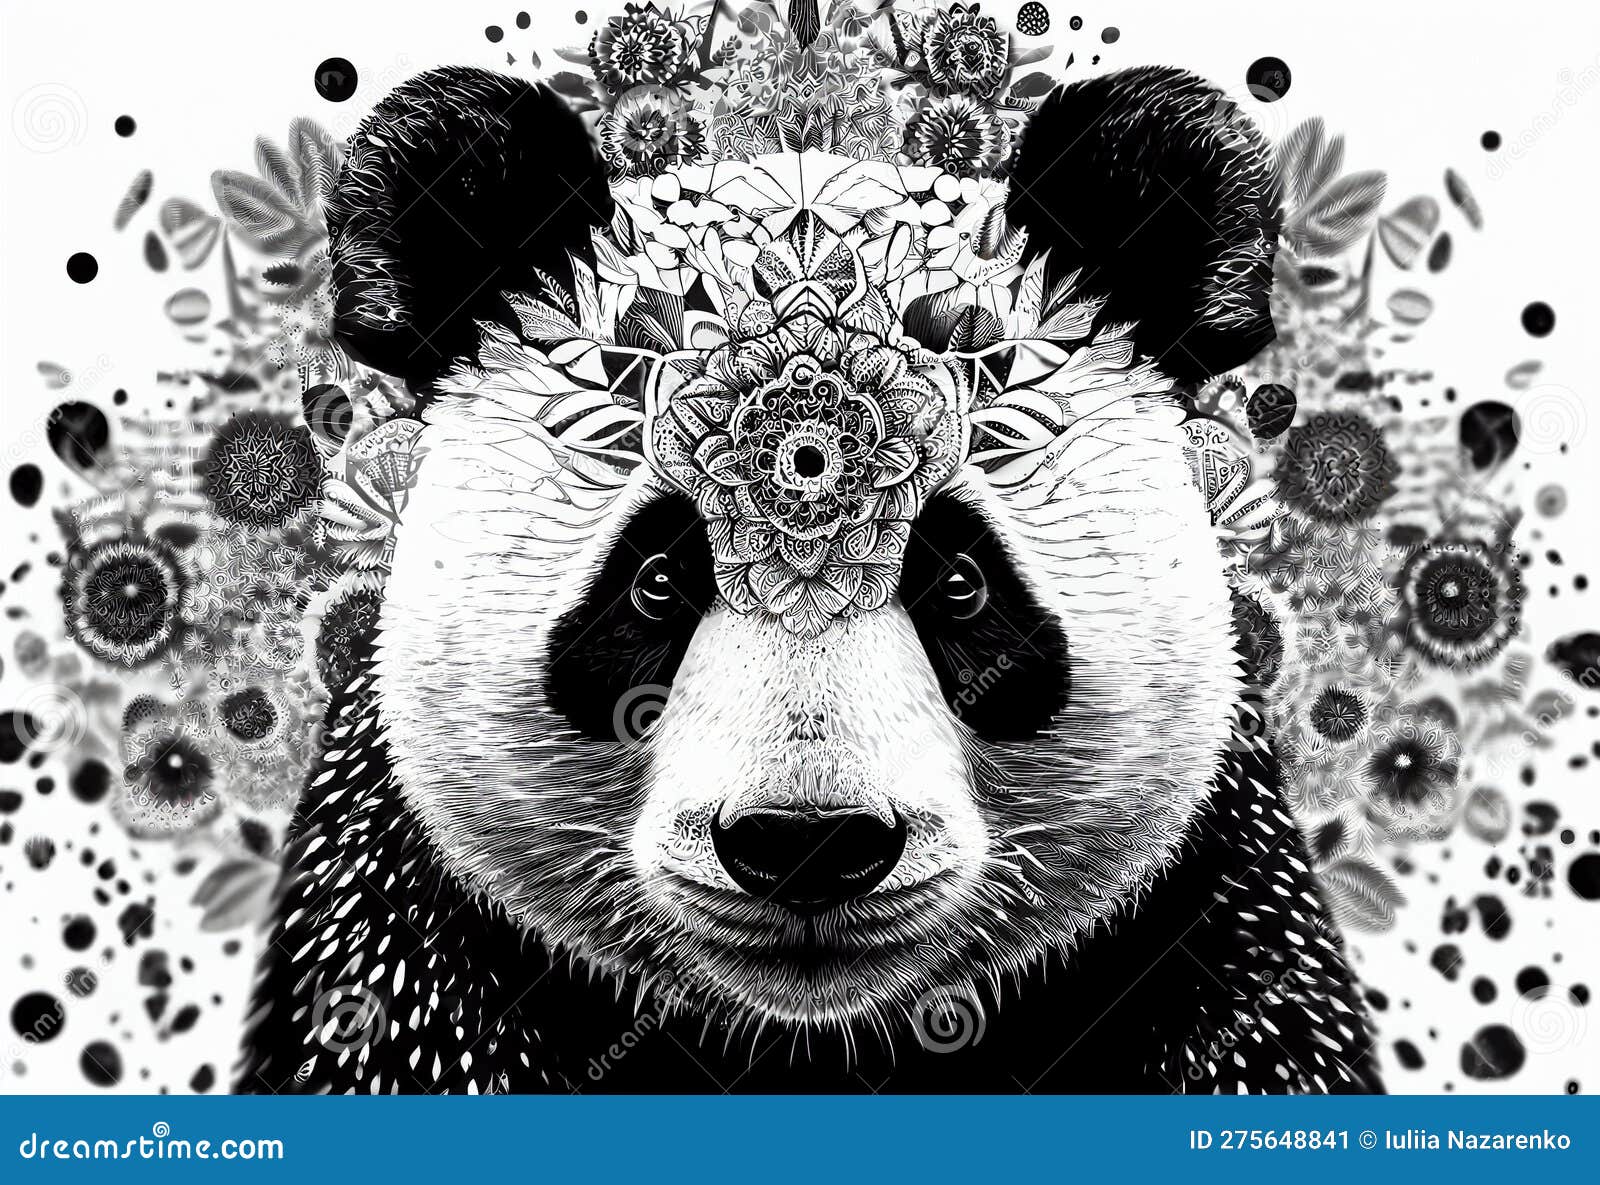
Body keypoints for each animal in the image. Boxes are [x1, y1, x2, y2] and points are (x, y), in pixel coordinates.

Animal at [236, 63, 1382, 1095]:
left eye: (960, 583)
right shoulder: (399, 945)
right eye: (657, 581)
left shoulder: (1206, 928)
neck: (809, 1045)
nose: (807, 846)